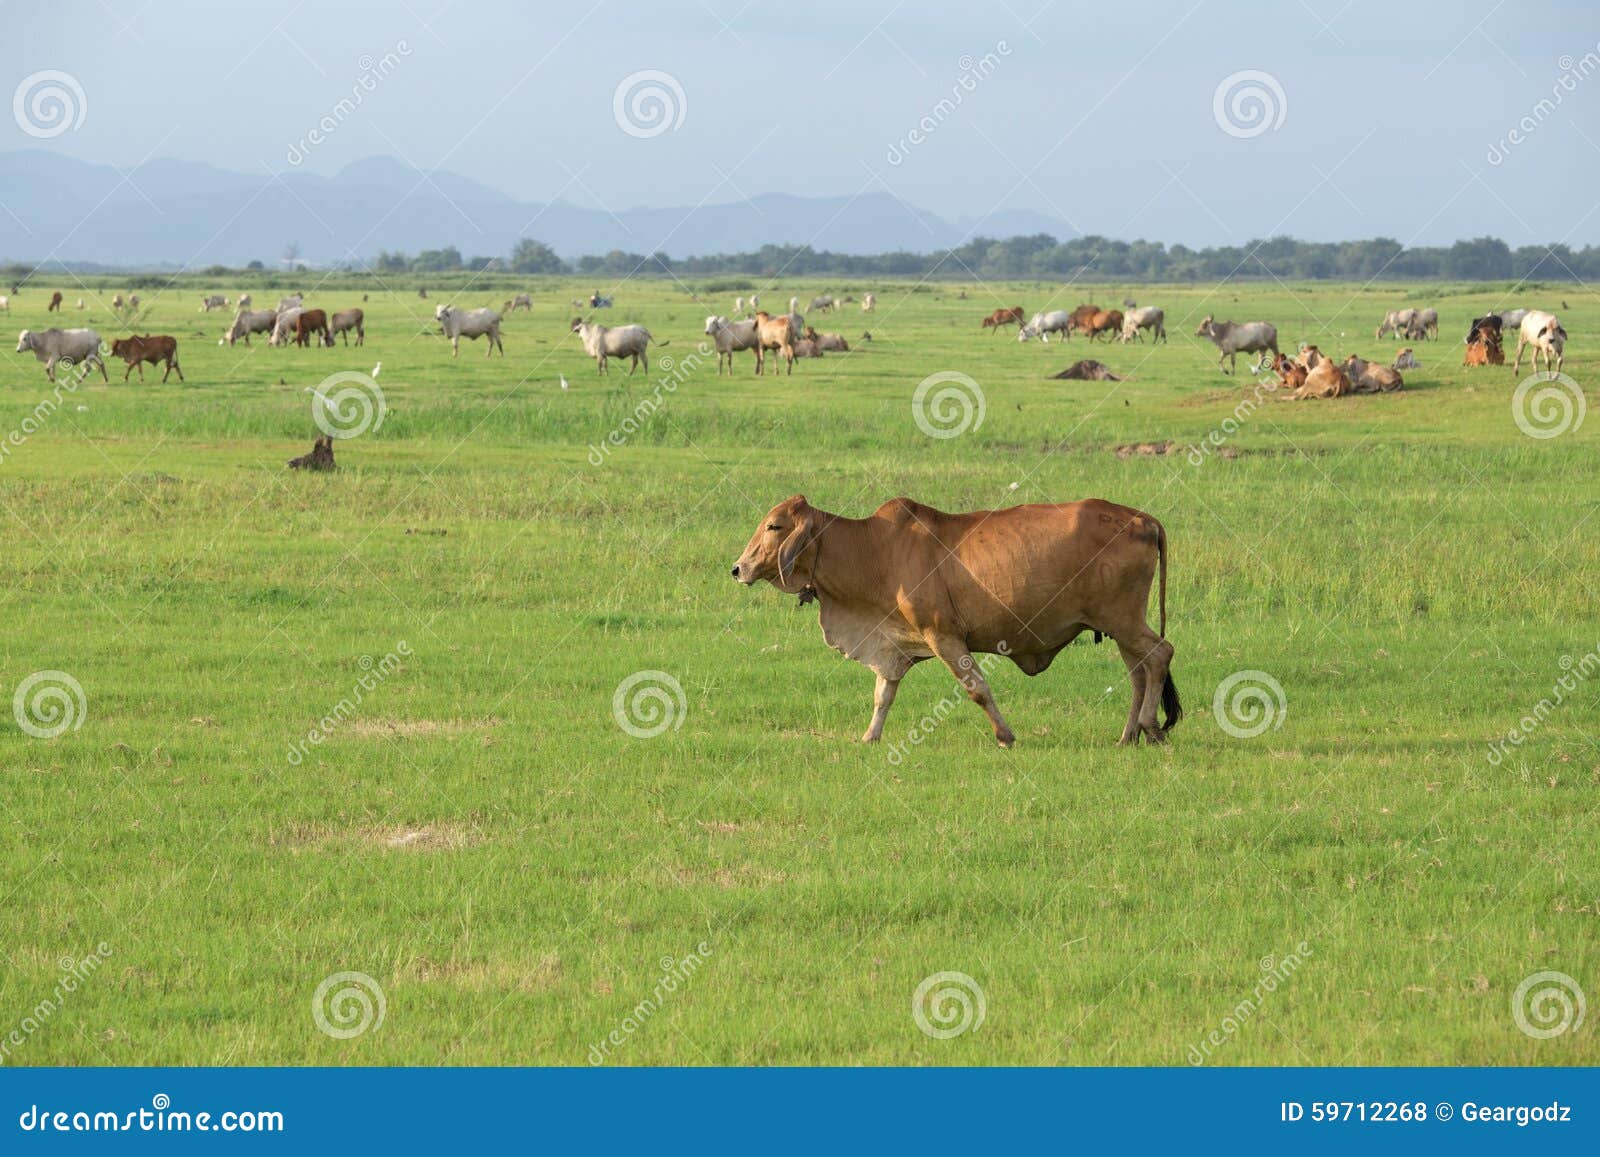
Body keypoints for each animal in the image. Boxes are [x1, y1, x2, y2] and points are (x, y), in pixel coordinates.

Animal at [732, 495, 1179, 748]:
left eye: (774, 526)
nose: (738, 568)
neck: (876, 551)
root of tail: (1142, 519)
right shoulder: (893, 645)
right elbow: (883, 695)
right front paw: (869, 737)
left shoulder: (943, 635)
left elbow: (976, 688)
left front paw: (1005, 736)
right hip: (1121, 628)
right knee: (1139, 673)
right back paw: (1128, 736)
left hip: (1123, 620)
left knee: (1160, 654)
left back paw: (1149, 727)